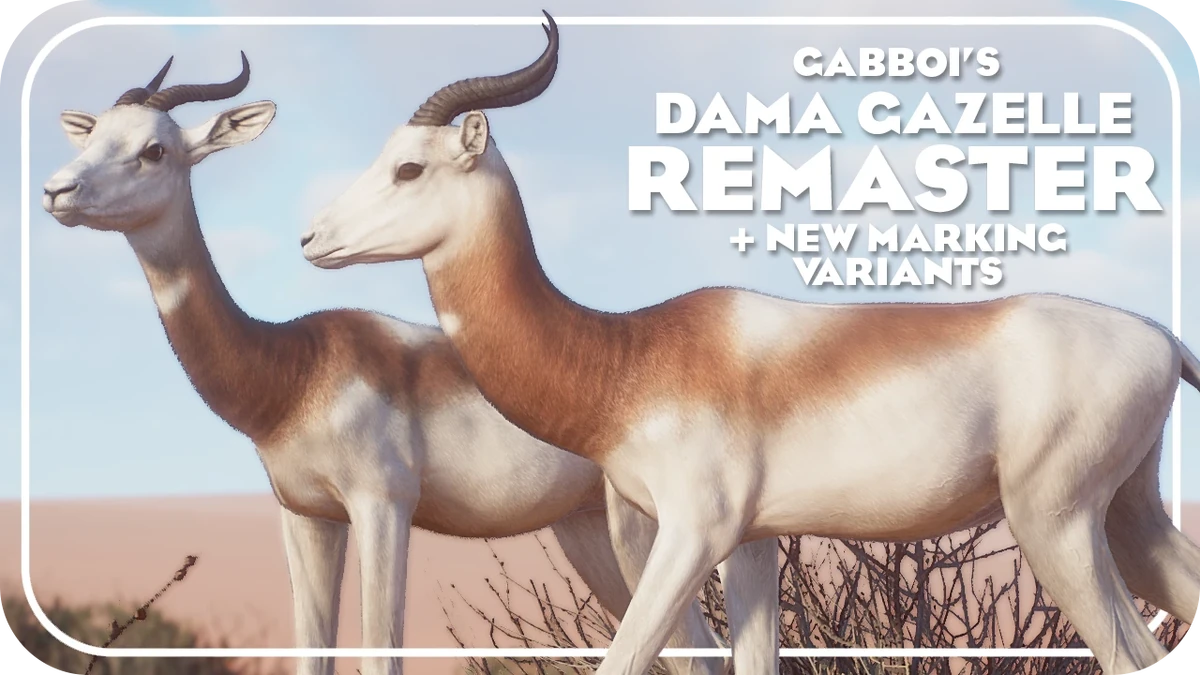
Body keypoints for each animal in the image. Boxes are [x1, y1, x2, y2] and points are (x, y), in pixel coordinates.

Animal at [40, 53, 745, 675]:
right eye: (94, 135)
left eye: (154, 150)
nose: (55, 190)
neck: (294, 371)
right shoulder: (307, 518)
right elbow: (312, 653)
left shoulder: (382, 507)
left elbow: (382, 652)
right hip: (591, 531)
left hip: (652, 533)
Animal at [302, 11, 1200, 675]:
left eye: (410, 168)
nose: (311, 237)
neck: (630, 356)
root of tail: (1160, 336)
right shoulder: (754, 548)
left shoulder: (690, 532)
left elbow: (625, 658)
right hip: (1128, 514)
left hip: (1055, 522)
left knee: (1132, 653)